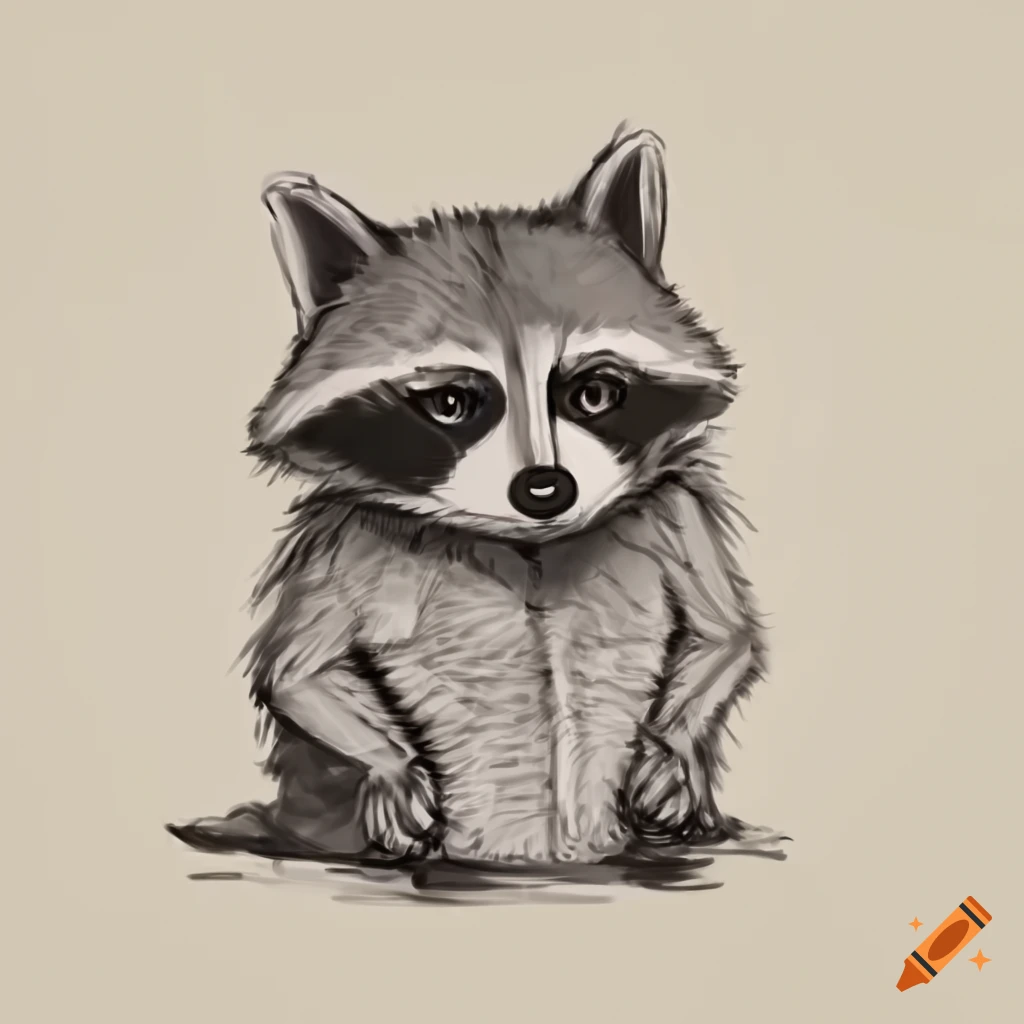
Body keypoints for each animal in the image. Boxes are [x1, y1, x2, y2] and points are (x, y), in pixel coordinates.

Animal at [168, 125, 768, 866]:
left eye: (594, 394)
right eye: (452, 403)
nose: (546, 488)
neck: (530, 545)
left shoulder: (675, 517)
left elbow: (726, 635)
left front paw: (674, 743)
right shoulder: (342, 541)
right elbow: (296, 673)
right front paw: (391, 762)